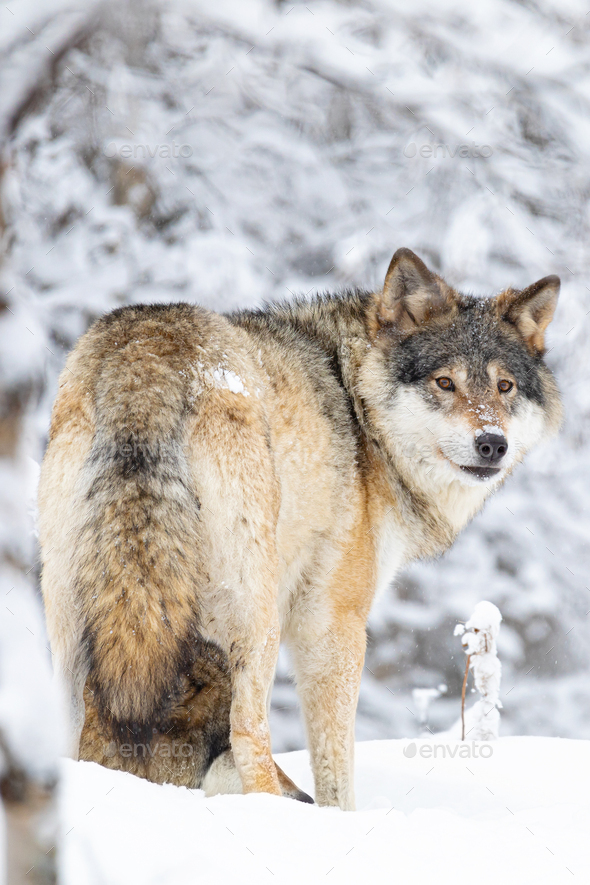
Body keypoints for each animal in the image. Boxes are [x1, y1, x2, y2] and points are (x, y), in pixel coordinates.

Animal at [38, 248, 561, 810]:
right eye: (446, 383)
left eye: (505, 387)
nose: (492, 443)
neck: (360, 413)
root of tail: (147, 351)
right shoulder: (331, 623)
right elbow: (336, 768)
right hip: (258, 614)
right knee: (249, 733)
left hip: (72, 621)